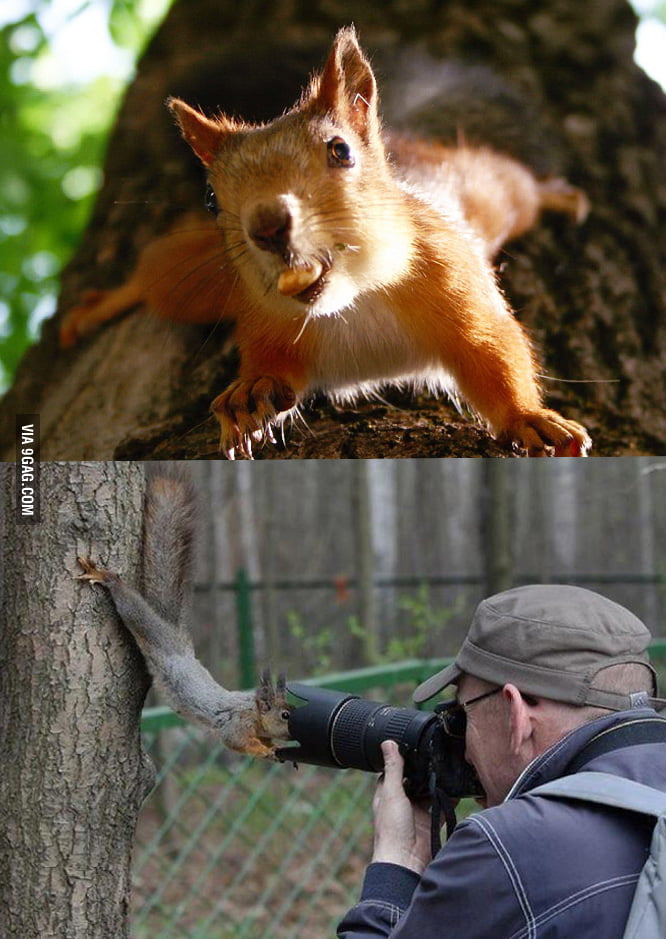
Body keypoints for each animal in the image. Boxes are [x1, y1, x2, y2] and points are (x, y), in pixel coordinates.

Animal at [59, 26, 591, 459]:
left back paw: (558, 196)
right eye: (210, 198)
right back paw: (102, 304)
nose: (268, 225)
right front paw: (250, 392)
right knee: (155, 281)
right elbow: (273, 368)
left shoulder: (453, 276)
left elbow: (494, 350)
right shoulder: (263, 317)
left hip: (486, 191)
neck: (352, 299)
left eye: (341, 151)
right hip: (198, 278)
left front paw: (530, 419)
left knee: (516, 182)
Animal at [76, 466, 292, 759]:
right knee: (131, 606)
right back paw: (108, 578)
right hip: (149, 629)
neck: (253, 710)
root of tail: (174, 633)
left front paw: (273, 747)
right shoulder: (237, 724)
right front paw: (265, 751)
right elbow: (235, 742)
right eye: (285, 715)